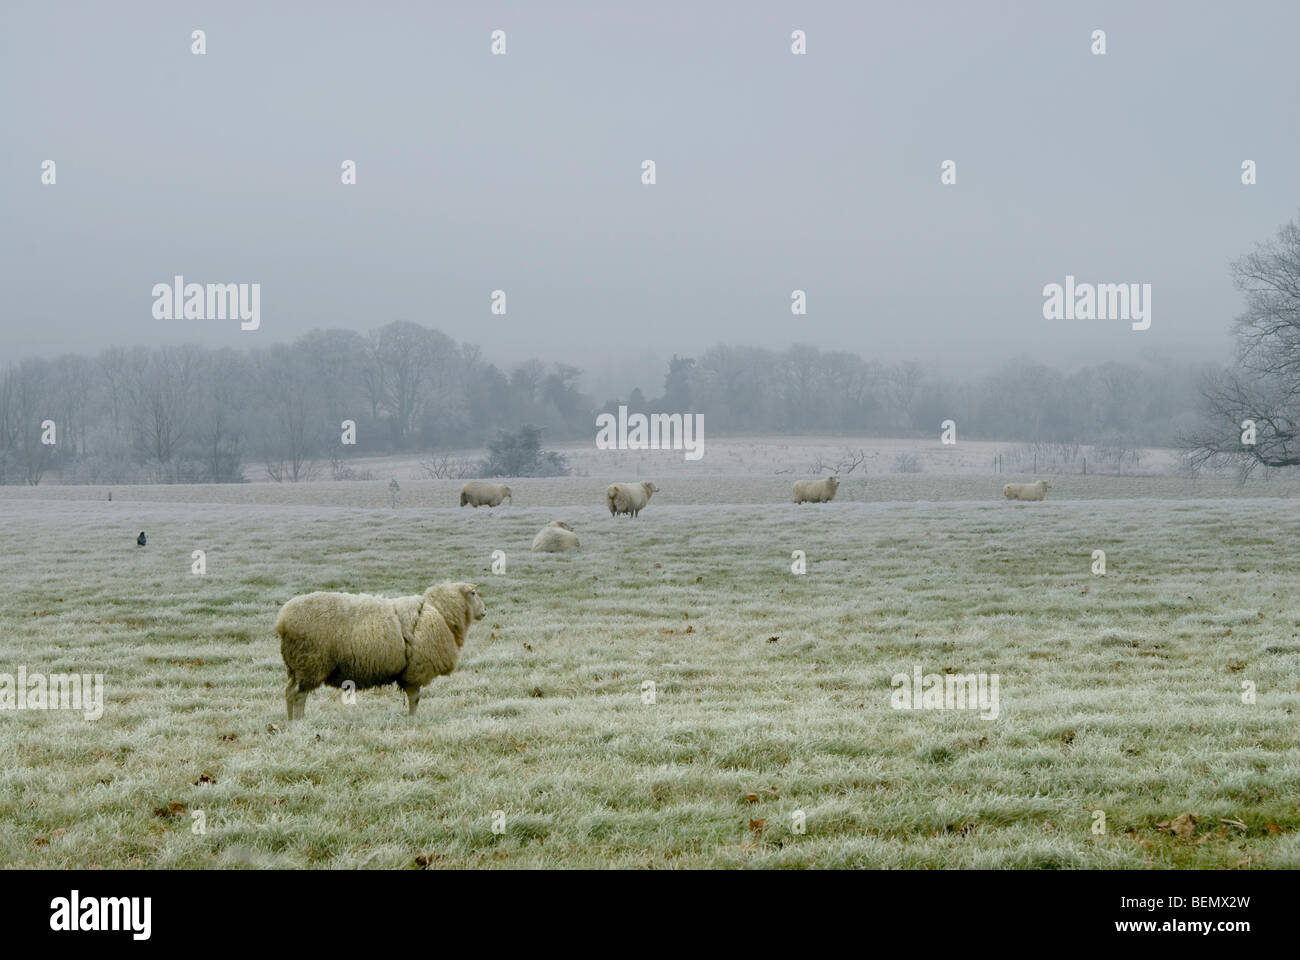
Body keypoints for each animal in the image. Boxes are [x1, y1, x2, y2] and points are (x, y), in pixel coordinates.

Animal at [277, 581, 486, 719]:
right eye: (474, 593)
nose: (485, 611)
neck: (441, 613)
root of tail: (283, 620)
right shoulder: (416, 670)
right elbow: (415, 698)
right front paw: (413, 718)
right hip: (310, 662)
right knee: (299, 695)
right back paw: (300, 721)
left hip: (296, 666)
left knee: (289, 692)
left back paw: (290, 720)